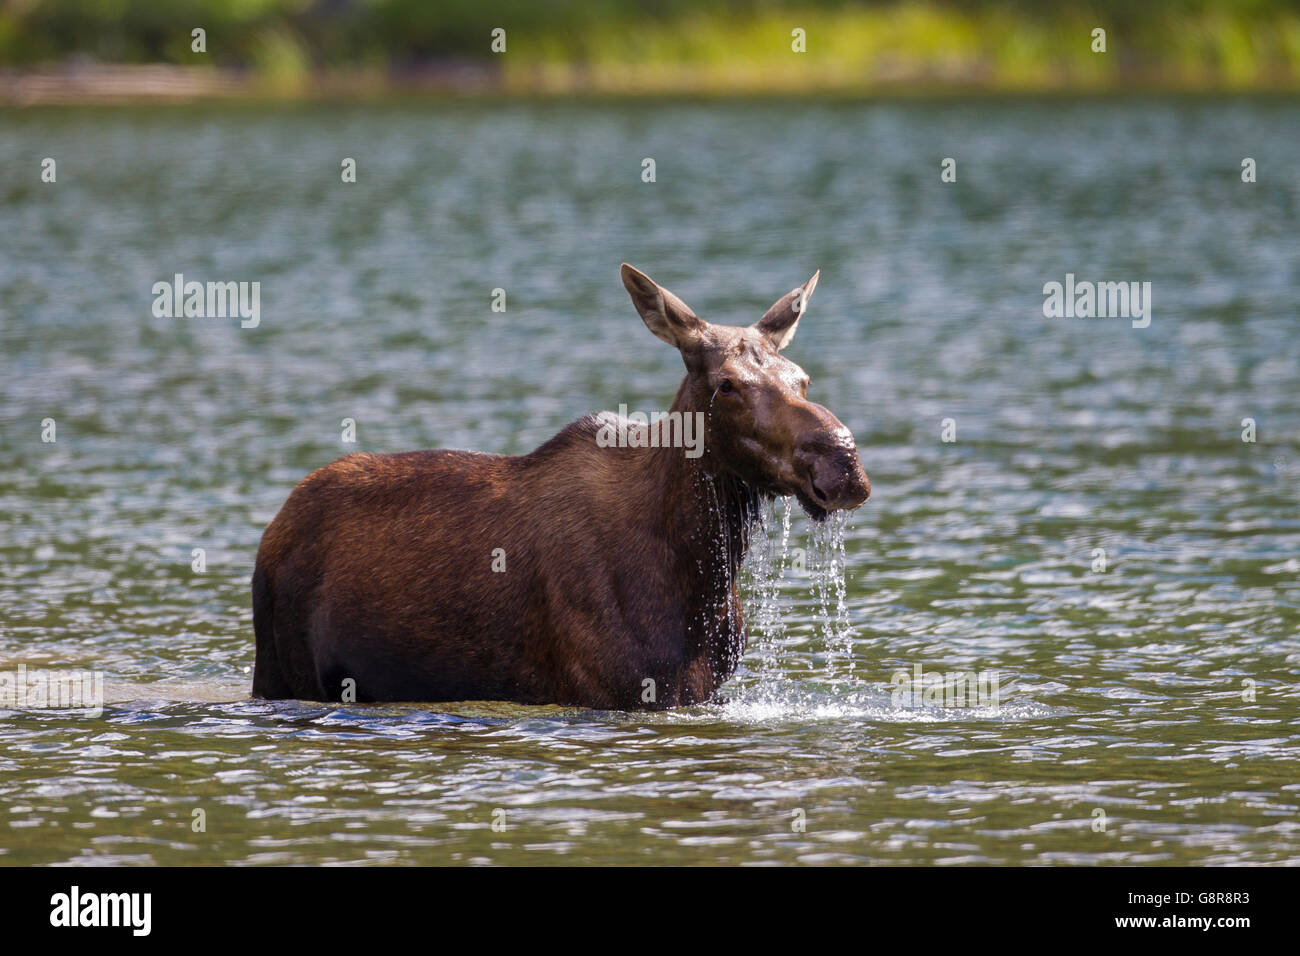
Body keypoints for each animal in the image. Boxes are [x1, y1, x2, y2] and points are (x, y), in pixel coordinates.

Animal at [251, 264, 869, 709]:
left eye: (802, 379)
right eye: (727, 385)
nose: (842, 462)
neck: (698, 577)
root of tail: (275, 528)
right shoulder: (607, 689)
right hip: (282, 670)